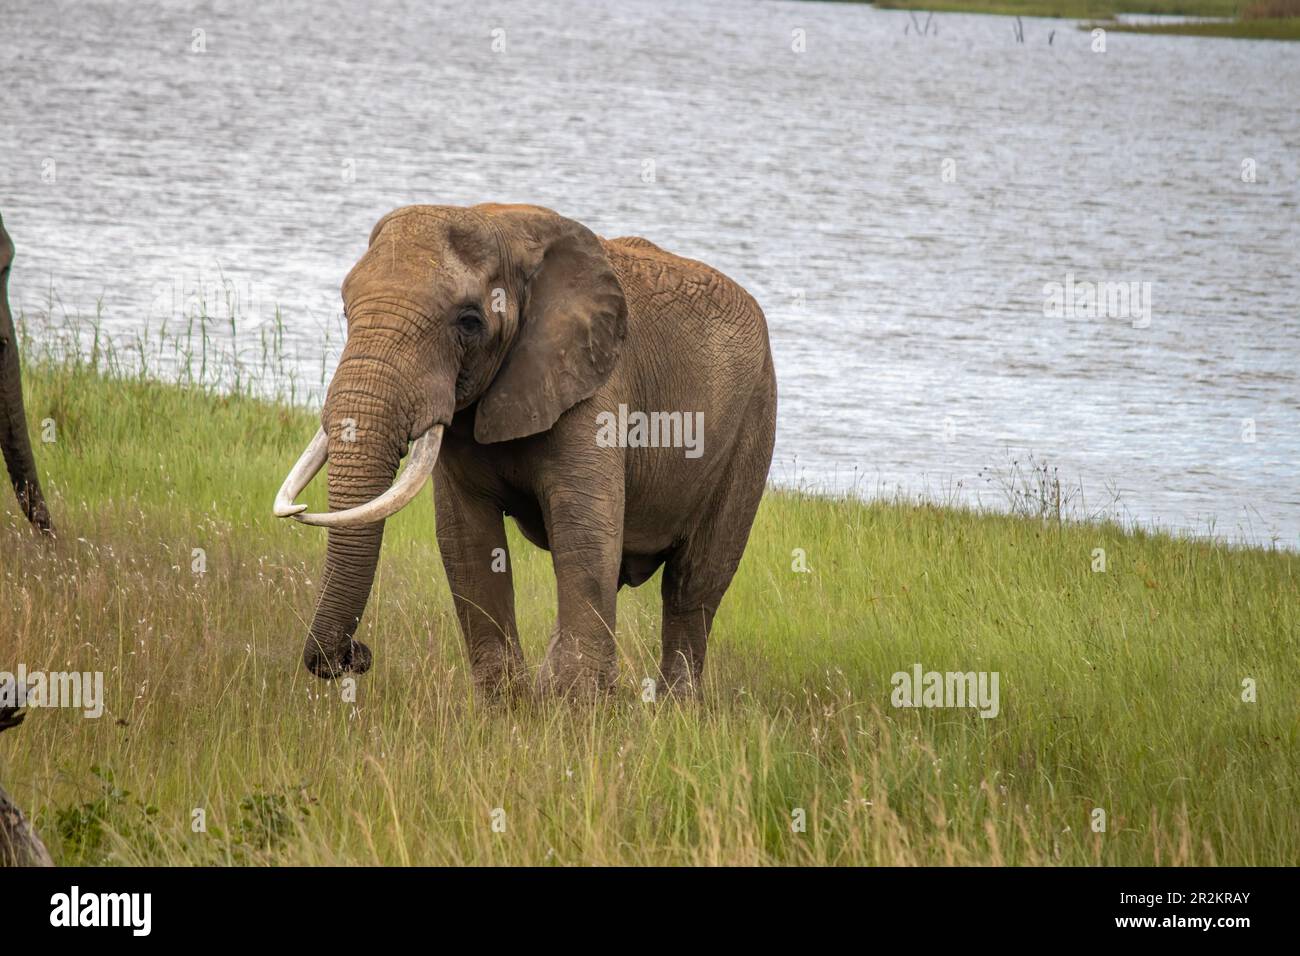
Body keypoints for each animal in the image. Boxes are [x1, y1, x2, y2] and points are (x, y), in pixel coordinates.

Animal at [274, 204, 776, 698]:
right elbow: (466, 539)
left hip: (754, 420)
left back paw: (673, 708)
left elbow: (583, 533)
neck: (504, 229)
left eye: (470, 321)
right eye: (345, 310)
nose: (357, 655)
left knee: (694, 583)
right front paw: (507, 707)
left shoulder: (594, 388)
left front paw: (575, 711)